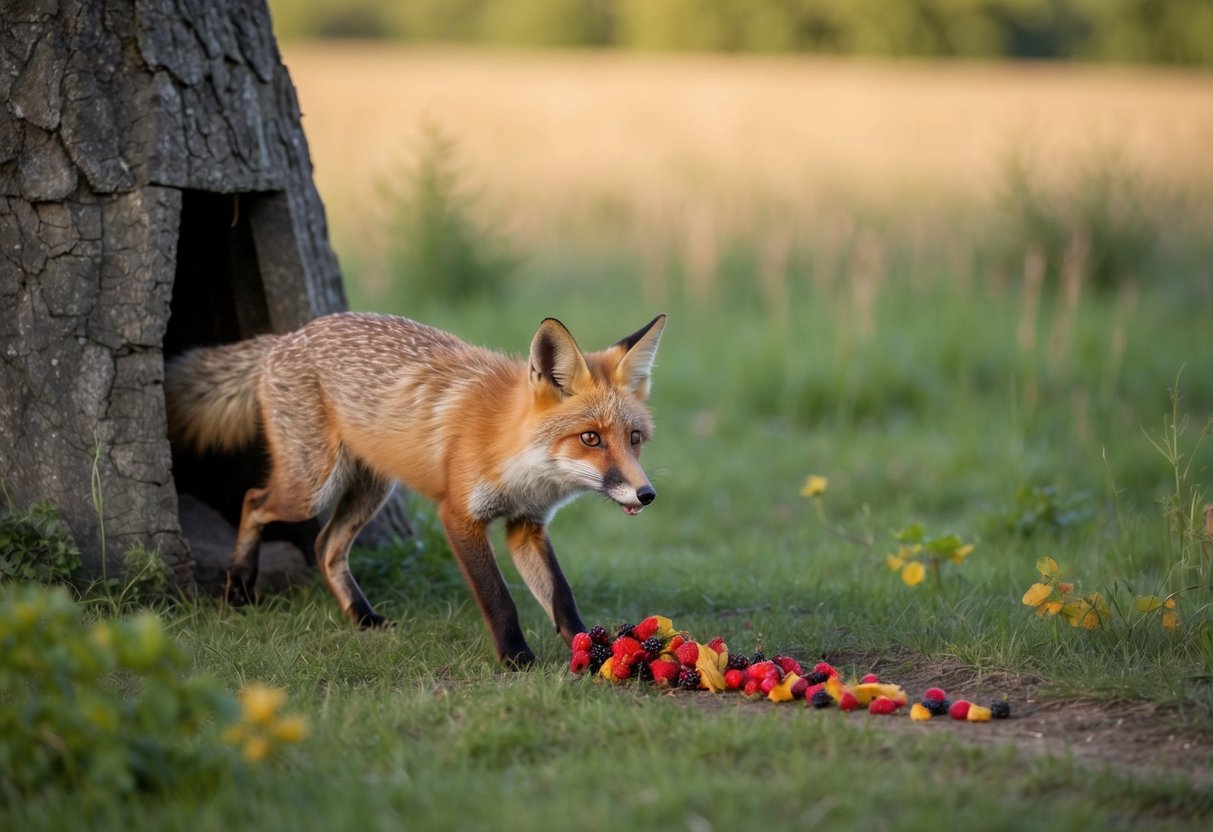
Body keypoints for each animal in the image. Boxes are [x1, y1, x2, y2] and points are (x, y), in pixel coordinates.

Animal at [163, 311, 666, 667]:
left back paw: (363, 617)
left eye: (635, 439)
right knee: (253, 501)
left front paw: (591, 650)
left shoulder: (526, 526)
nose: (647, 495)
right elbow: (499, 600)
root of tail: (284, 338)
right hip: (311, 487)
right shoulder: (459, 516)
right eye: (591, 438)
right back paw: (239, 586)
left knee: (326, 545)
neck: (515, 453)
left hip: (371, 488)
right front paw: (517, 660)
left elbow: (561, 597)